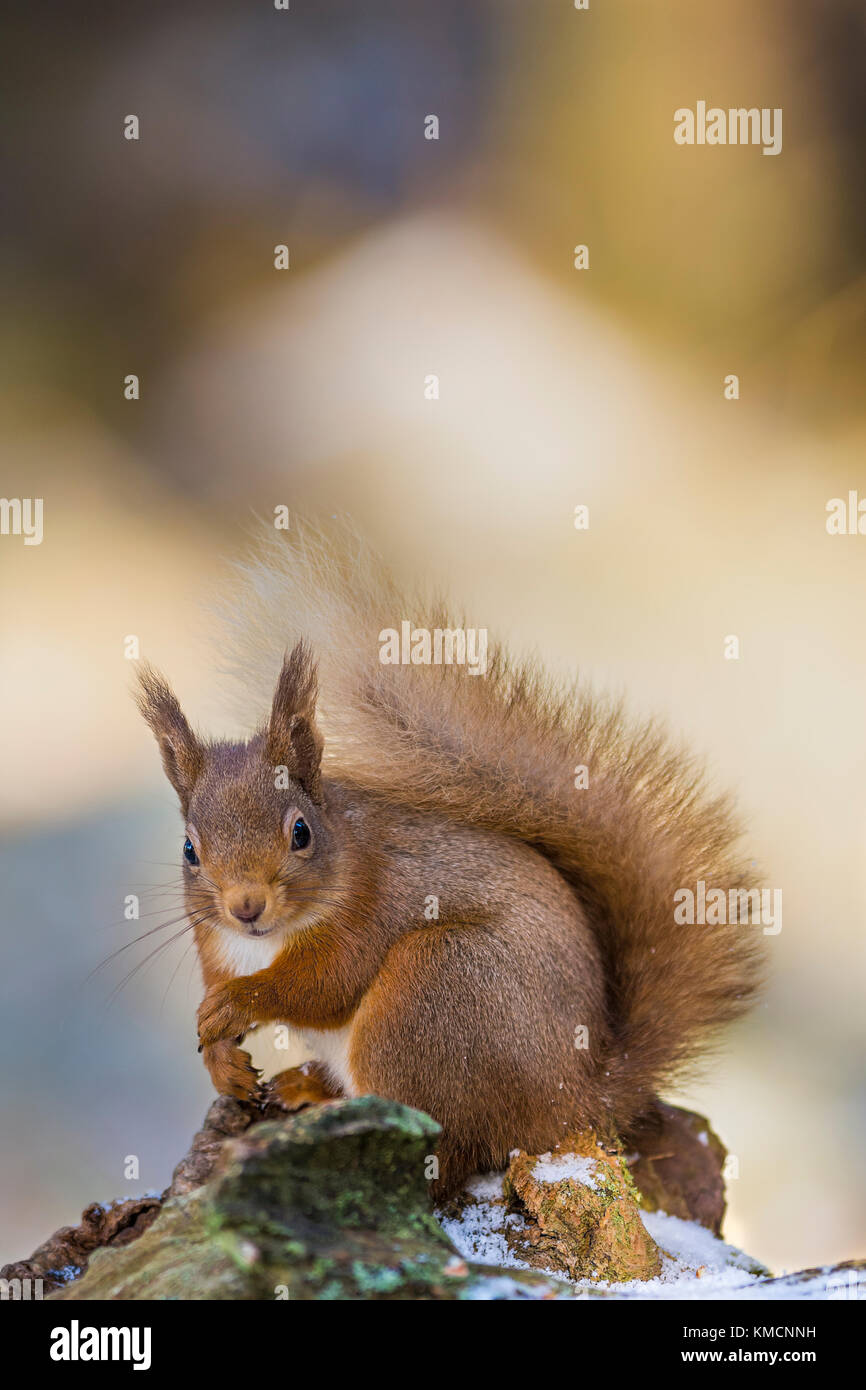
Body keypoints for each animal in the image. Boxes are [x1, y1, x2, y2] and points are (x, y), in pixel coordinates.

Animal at [135, 520, 763, 1198]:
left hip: (434, 988)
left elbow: (322, 985)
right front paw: (222, 1061)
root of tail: (574, 1100)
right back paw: (302, 1085)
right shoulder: (215, 943)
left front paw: (236, 1006)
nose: (245, 906)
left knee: (446, 1150)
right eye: (190, 850)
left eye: (300, 832)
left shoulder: (371, 910)